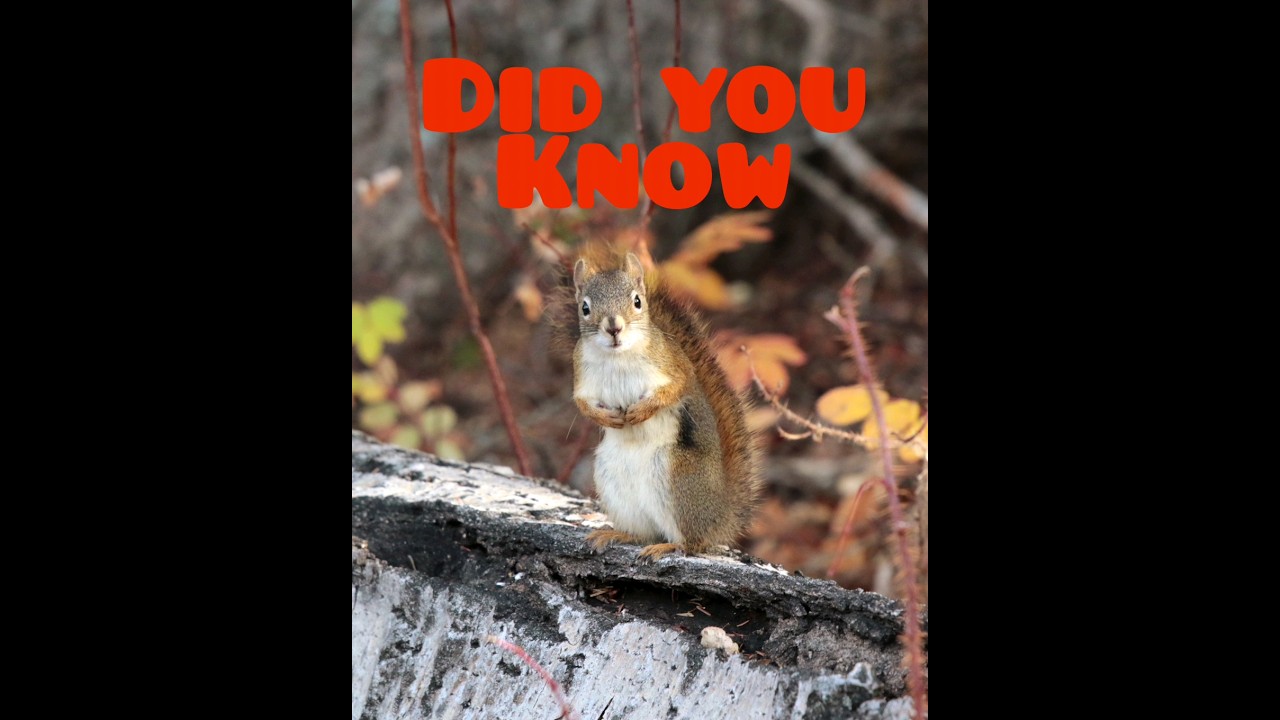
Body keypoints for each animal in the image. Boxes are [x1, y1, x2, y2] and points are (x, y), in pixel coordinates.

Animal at [571, 252, 761, 561]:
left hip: (676, 475)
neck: (617, 356)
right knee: (645, 532)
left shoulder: (674, 366)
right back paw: (618, 533)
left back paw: (670, 545)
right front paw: (606, 417)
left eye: (637, 301)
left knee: (692, 543)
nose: (614, 328)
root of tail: (720, 517)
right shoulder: (582, 378)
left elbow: (675, 389)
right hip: (612, 480)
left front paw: (641, 411)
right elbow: (581, 404)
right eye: (585, 307)